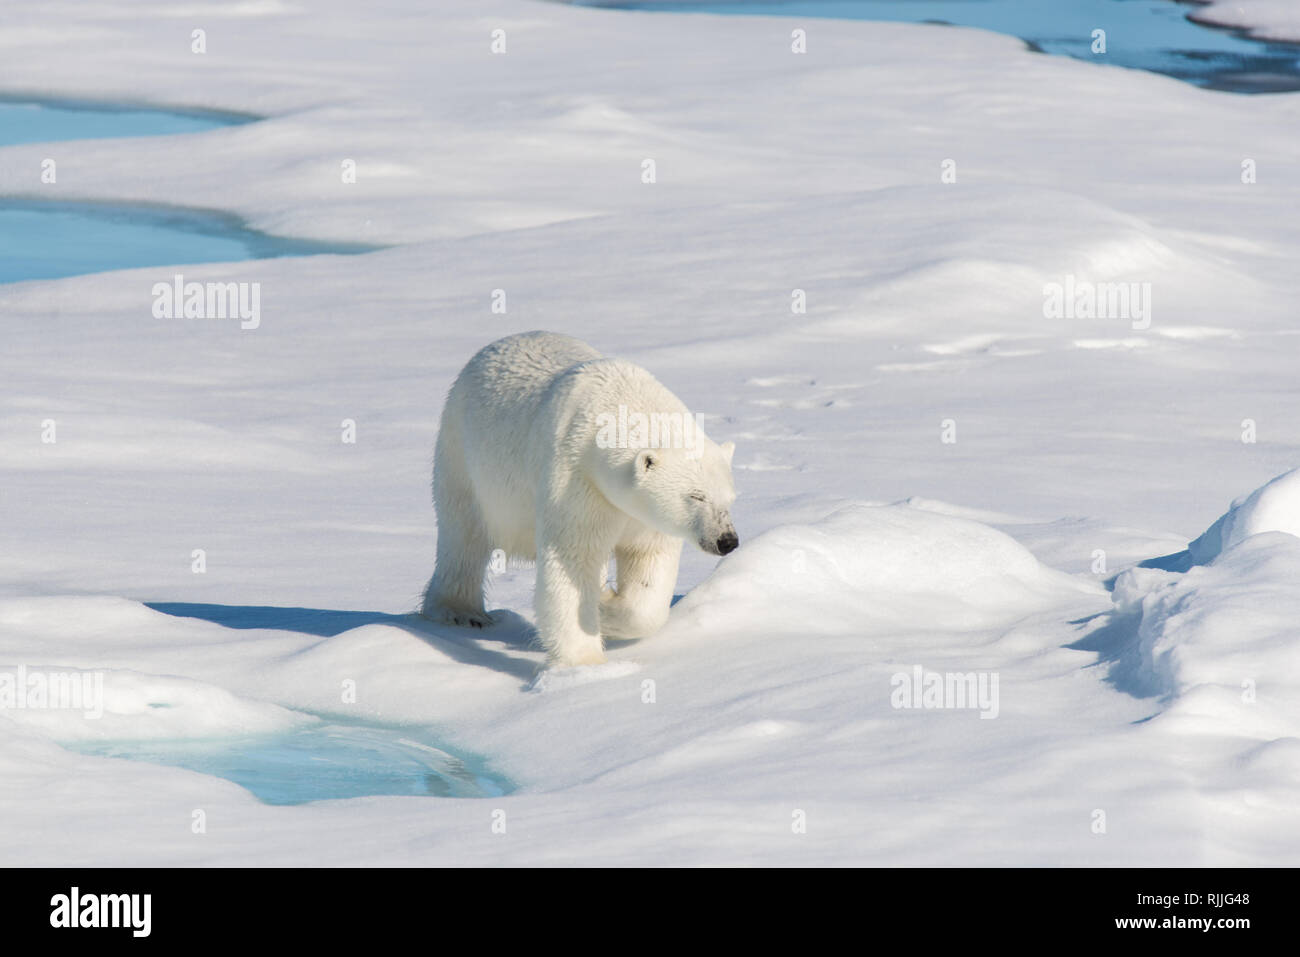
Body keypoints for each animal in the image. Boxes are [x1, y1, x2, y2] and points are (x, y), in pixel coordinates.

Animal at [420, 331, 739, 667]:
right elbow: (574, 558)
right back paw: (461, 613)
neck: (617, 401)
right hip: (463, 459)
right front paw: (585, 660)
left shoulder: (645, 515)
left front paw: (607, 606)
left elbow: (648, 569)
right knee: (463, 538)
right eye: (696, 496)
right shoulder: (577, 480)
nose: (727, 541)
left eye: (729, 498)